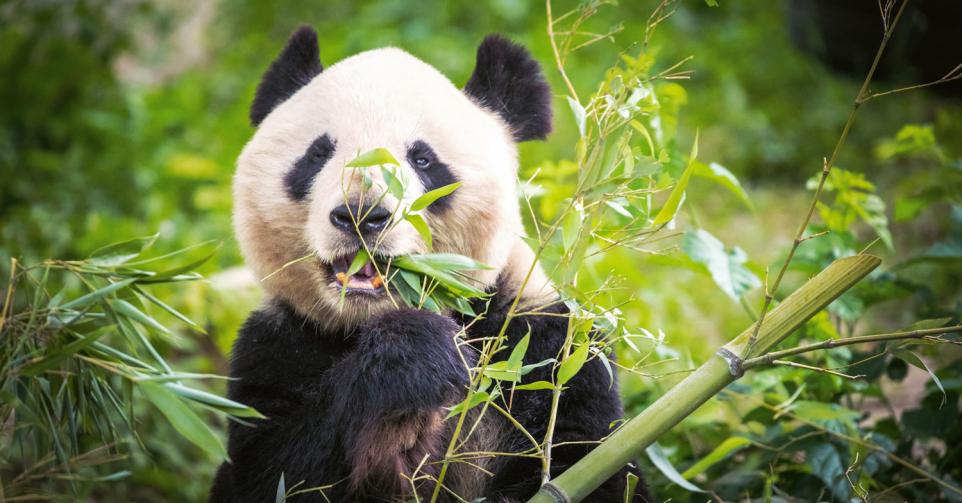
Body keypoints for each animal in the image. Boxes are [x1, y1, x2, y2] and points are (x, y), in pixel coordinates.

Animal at [209, 26, 649, 503]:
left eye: (422, 159)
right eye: (317, 154)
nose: (362, 214)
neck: (373, 315)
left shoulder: (542, 345)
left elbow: (584, 457)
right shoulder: (277, 344)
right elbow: (277, 470)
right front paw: (413, 355)